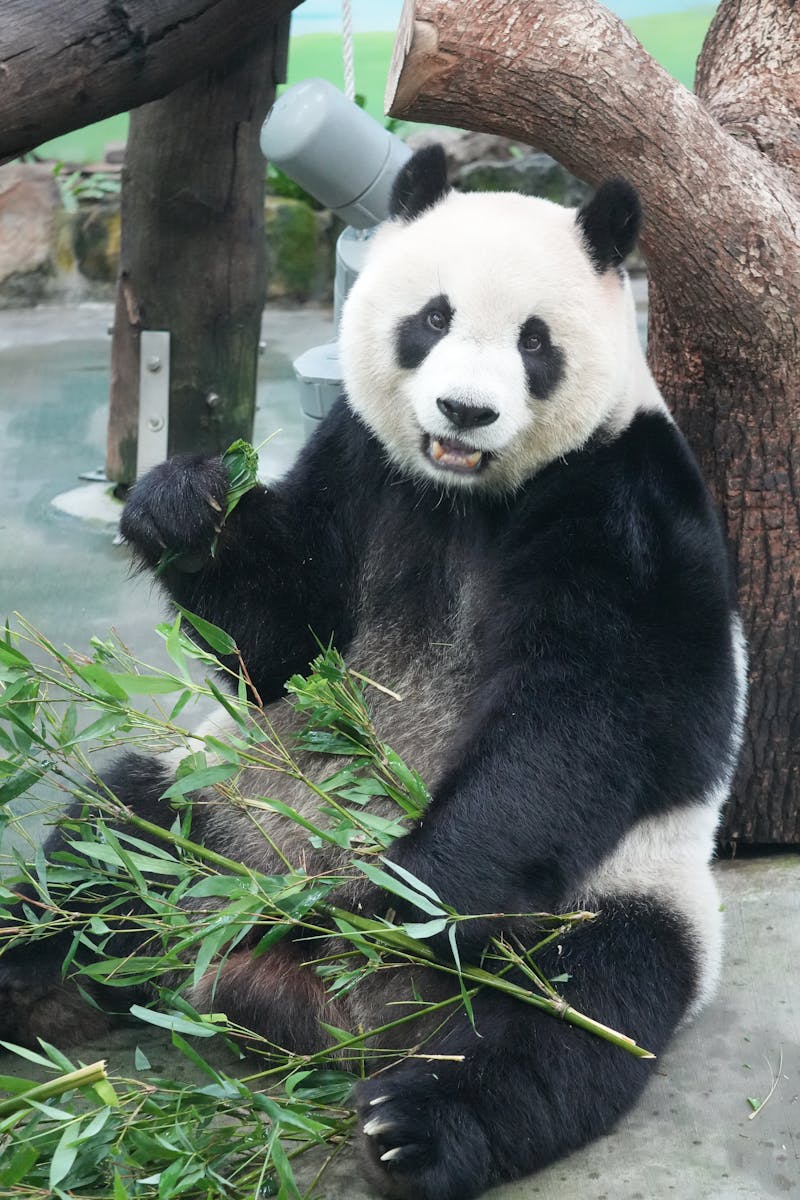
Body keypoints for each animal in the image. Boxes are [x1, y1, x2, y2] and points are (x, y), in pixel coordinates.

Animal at [0, 145, 746, 1200]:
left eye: (534, 342)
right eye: (431, 317)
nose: (466, 411)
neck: (464, 494)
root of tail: (331, 1018)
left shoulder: (619, 500)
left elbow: (590, 719)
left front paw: (398, 898)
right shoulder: (359, 464)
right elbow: (281, 644)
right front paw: (183, 504)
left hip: (613, 895)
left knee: (563, 1016)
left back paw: (413, 1119)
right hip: (225, 808)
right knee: (109, 846)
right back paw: (37, 977)